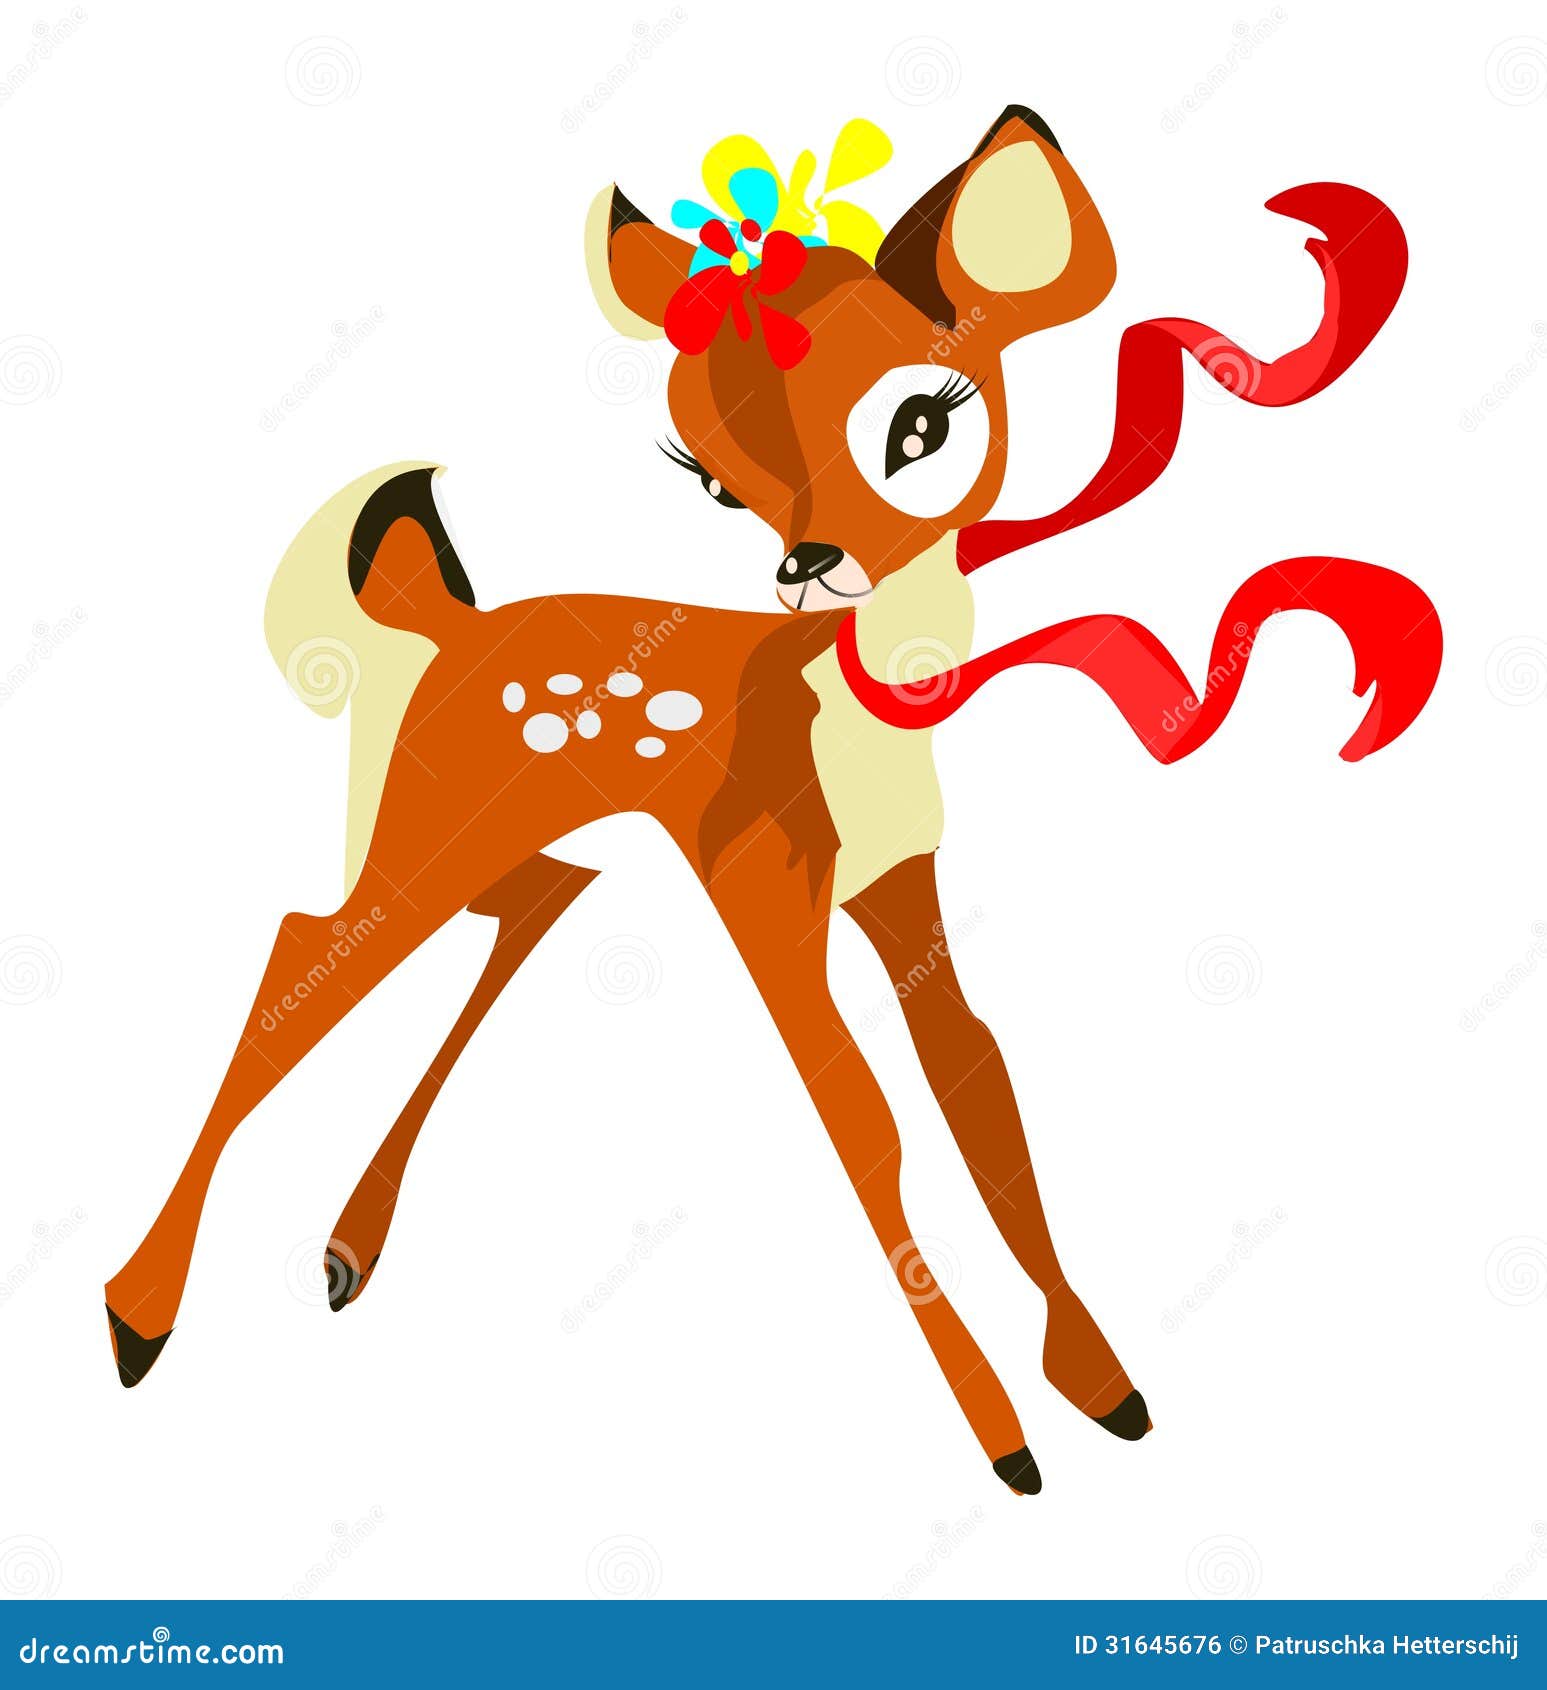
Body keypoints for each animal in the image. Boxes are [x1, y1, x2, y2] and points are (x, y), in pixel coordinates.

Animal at [106, 106, 1441, 1498]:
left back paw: (342, 1253)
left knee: (508, 919)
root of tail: (442, 623)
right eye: (710, 476)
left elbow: (984, 1099)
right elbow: (868, 1125)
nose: (807, 562)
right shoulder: (768, 880)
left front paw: (1103, 1385)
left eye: (917, 427)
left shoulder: (898, 886)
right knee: (300, 951)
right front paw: (1004, 1441)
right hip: (430, 838)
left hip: (532, 849)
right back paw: (138, 1317)